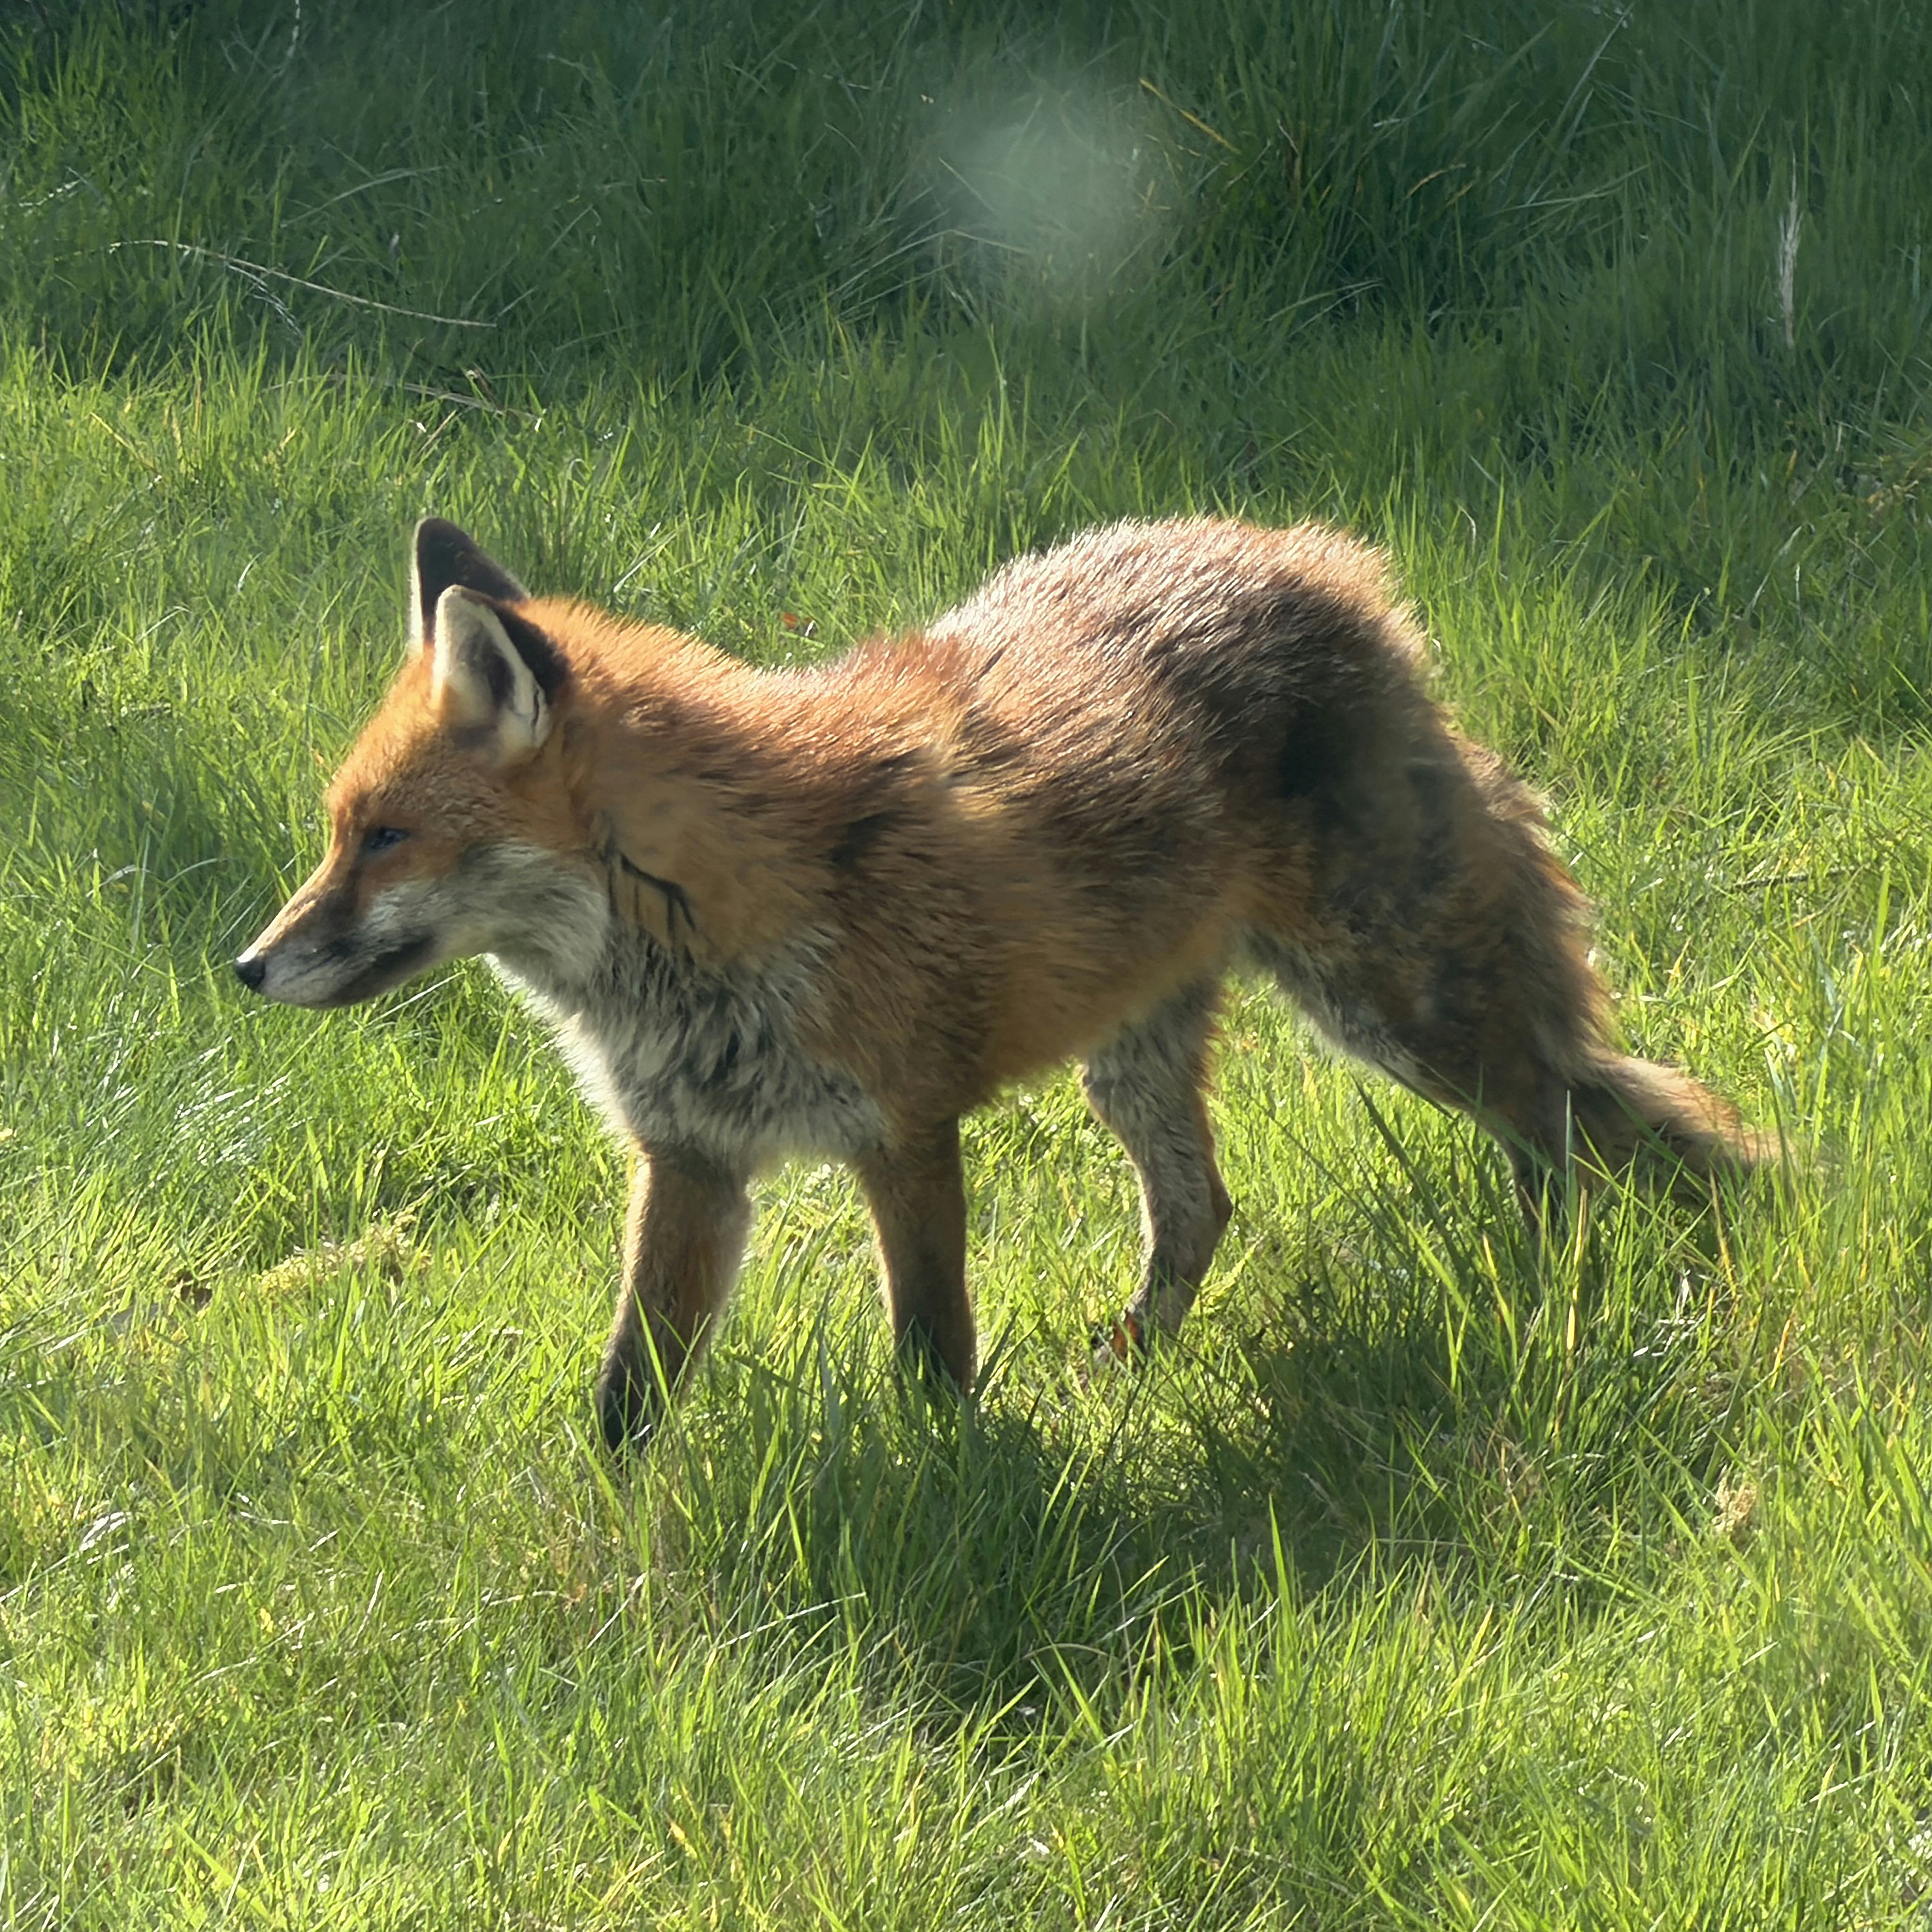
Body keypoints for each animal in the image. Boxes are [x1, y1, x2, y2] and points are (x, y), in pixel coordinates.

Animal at [237, 515, 1769, 1449]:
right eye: (337, 835)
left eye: (383, 840)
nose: (248, 966)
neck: (708, 922)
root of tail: (1325, 562)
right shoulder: (694, 1161)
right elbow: (628, 1394)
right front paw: (603, 1535)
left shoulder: (906, 1135)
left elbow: (930, 1356)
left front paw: (954, 1492)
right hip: (1135, 1055)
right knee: (1206, 1211)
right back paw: (1127, 1372)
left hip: (1398, 1009)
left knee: (1581, 1131)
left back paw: (1599, 1284)